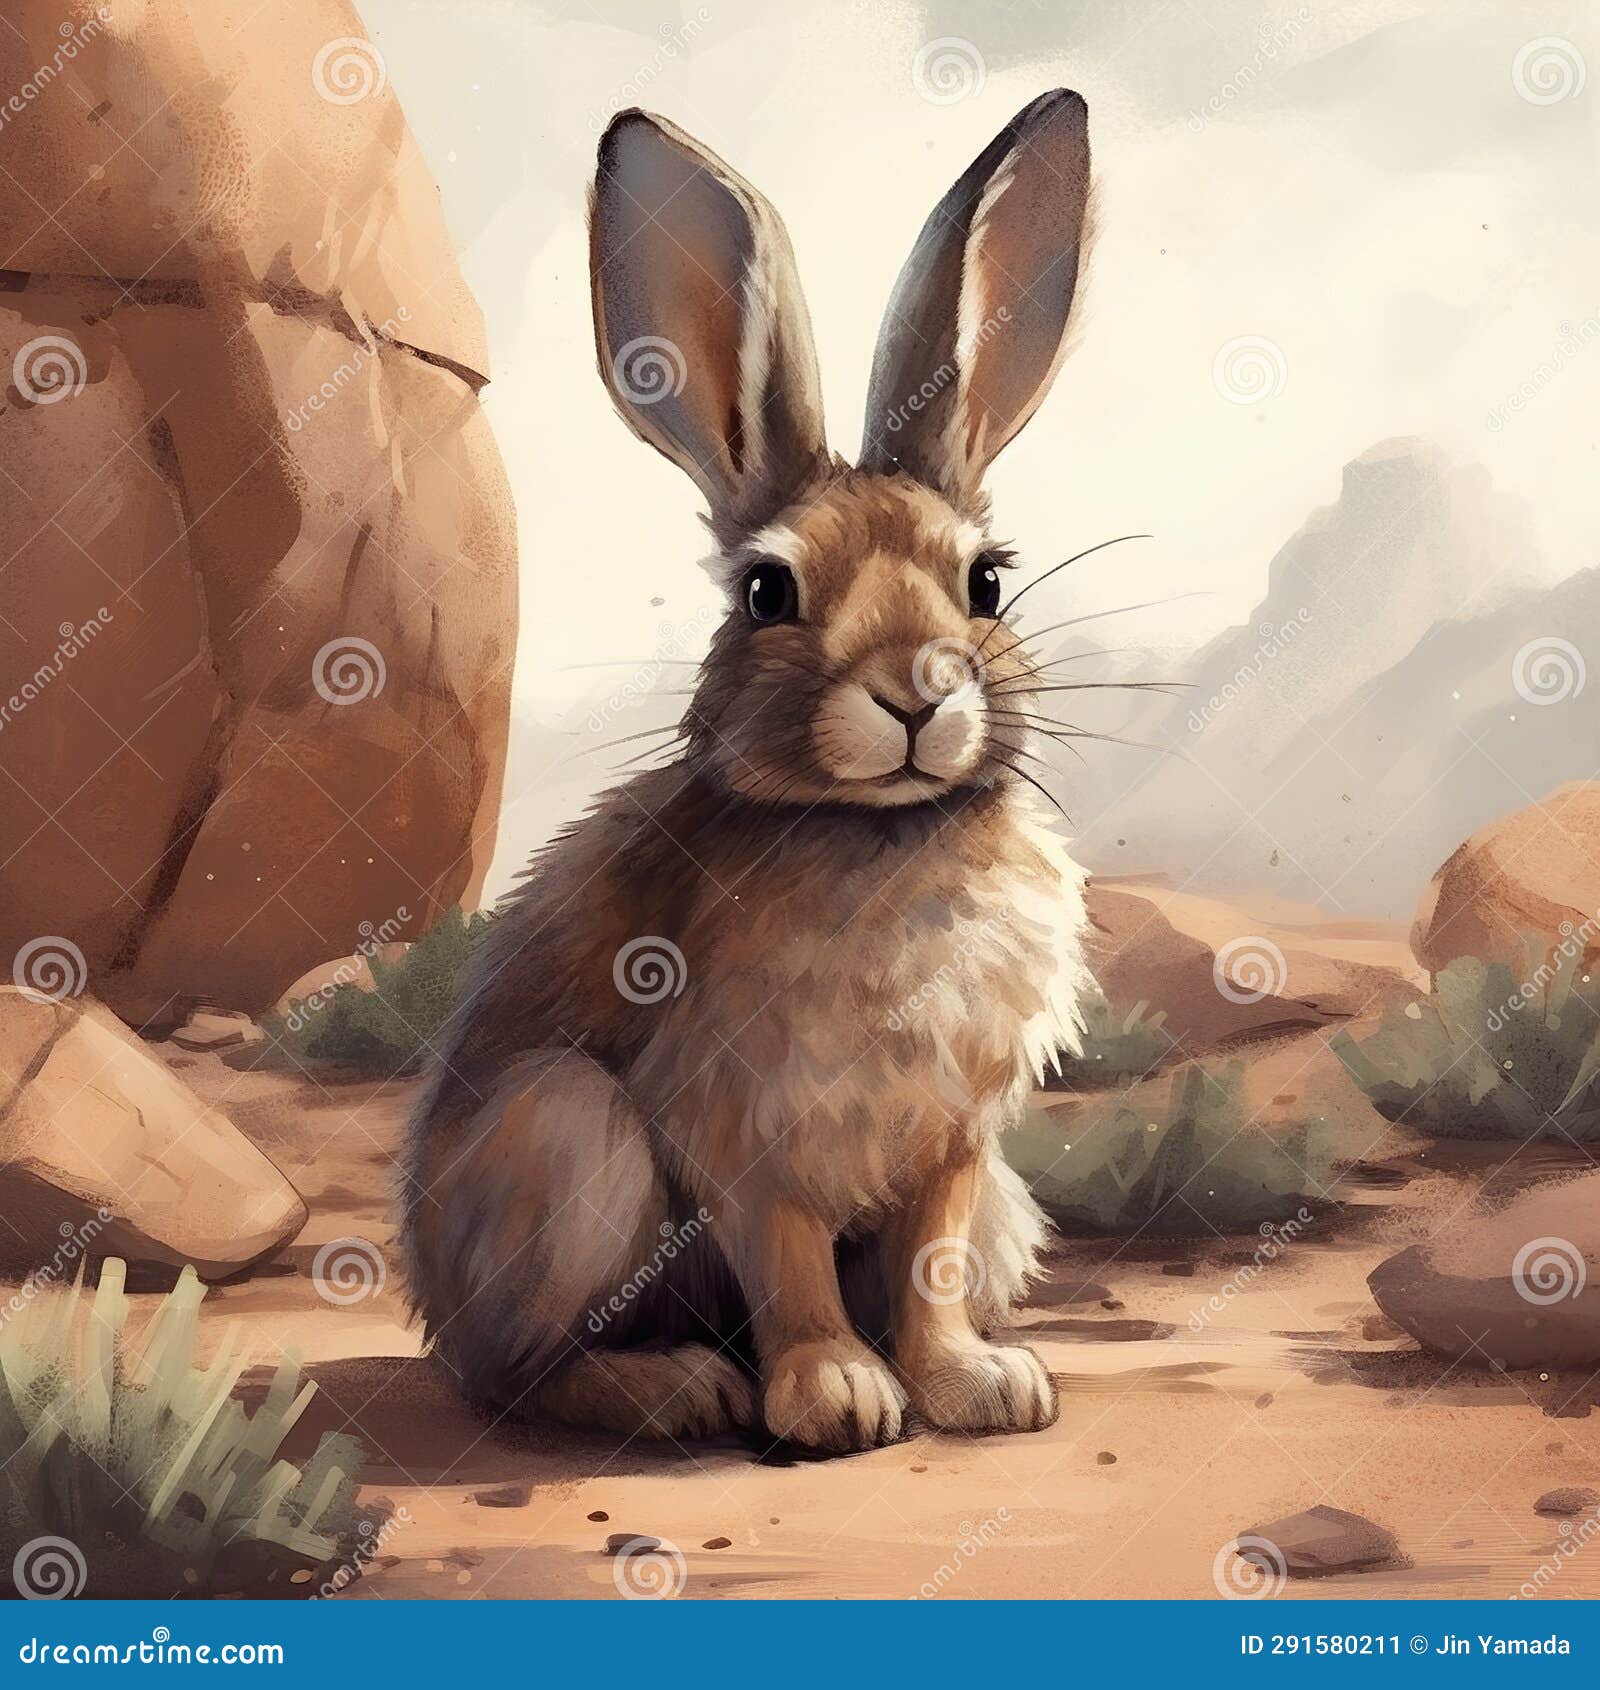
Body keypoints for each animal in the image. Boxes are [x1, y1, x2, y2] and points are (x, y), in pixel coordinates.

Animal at [402, 89, 1098, 1454]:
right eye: (768, 590)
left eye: (986, 583)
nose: (914, 695)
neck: (878, 832)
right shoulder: (742, 1134)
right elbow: (787, 1266)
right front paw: (836, 1397)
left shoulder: (954, 1148)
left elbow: (930, 1267)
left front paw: (976, 1388)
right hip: (570, 1144)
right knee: (519, 1375)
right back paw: (677, 1389)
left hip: (1001, 1202)